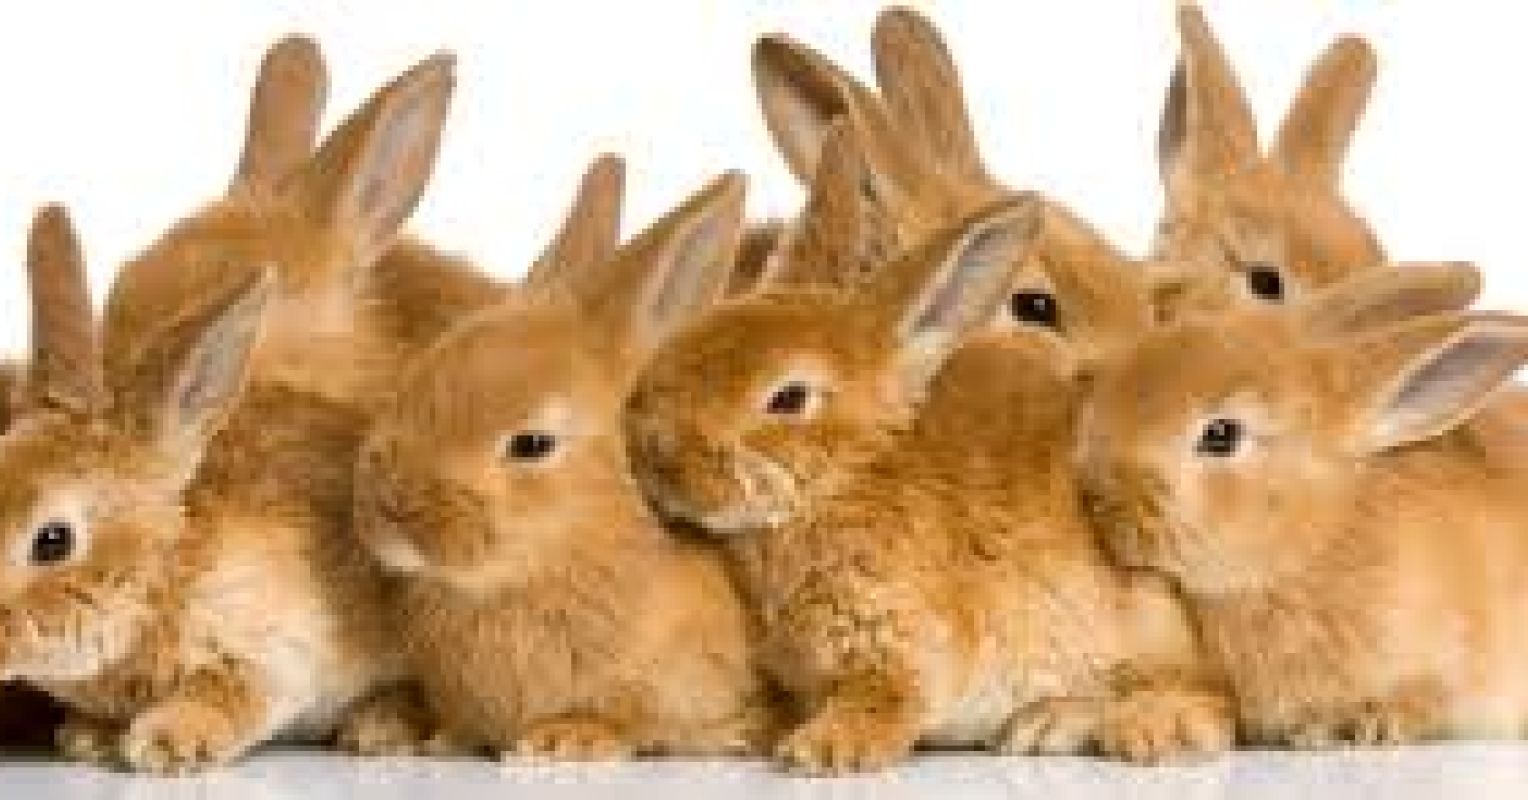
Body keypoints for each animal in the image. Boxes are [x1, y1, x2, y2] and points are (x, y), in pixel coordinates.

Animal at [0, 206, 401, 774]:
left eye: (53, 540)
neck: (163, 577)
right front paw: (89, 739)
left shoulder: (273, 648)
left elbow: (229, 692)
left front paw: (166, 742)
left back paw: (380, 729)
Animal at [345, 170, 776, 761]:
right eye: (418, 376)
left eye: (532, 444)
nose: (391, 504)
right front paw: (439, 737)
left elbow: (643, 722)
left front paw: (566, 736)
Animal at [622, 124, 1231, 775]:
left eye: (788, 397)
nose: (657, 454)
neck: (845, 481)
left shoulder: (898, 641)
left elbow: (890, 696)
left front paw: (824, 749)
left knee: (1209, 701)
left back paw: (1096, 725)